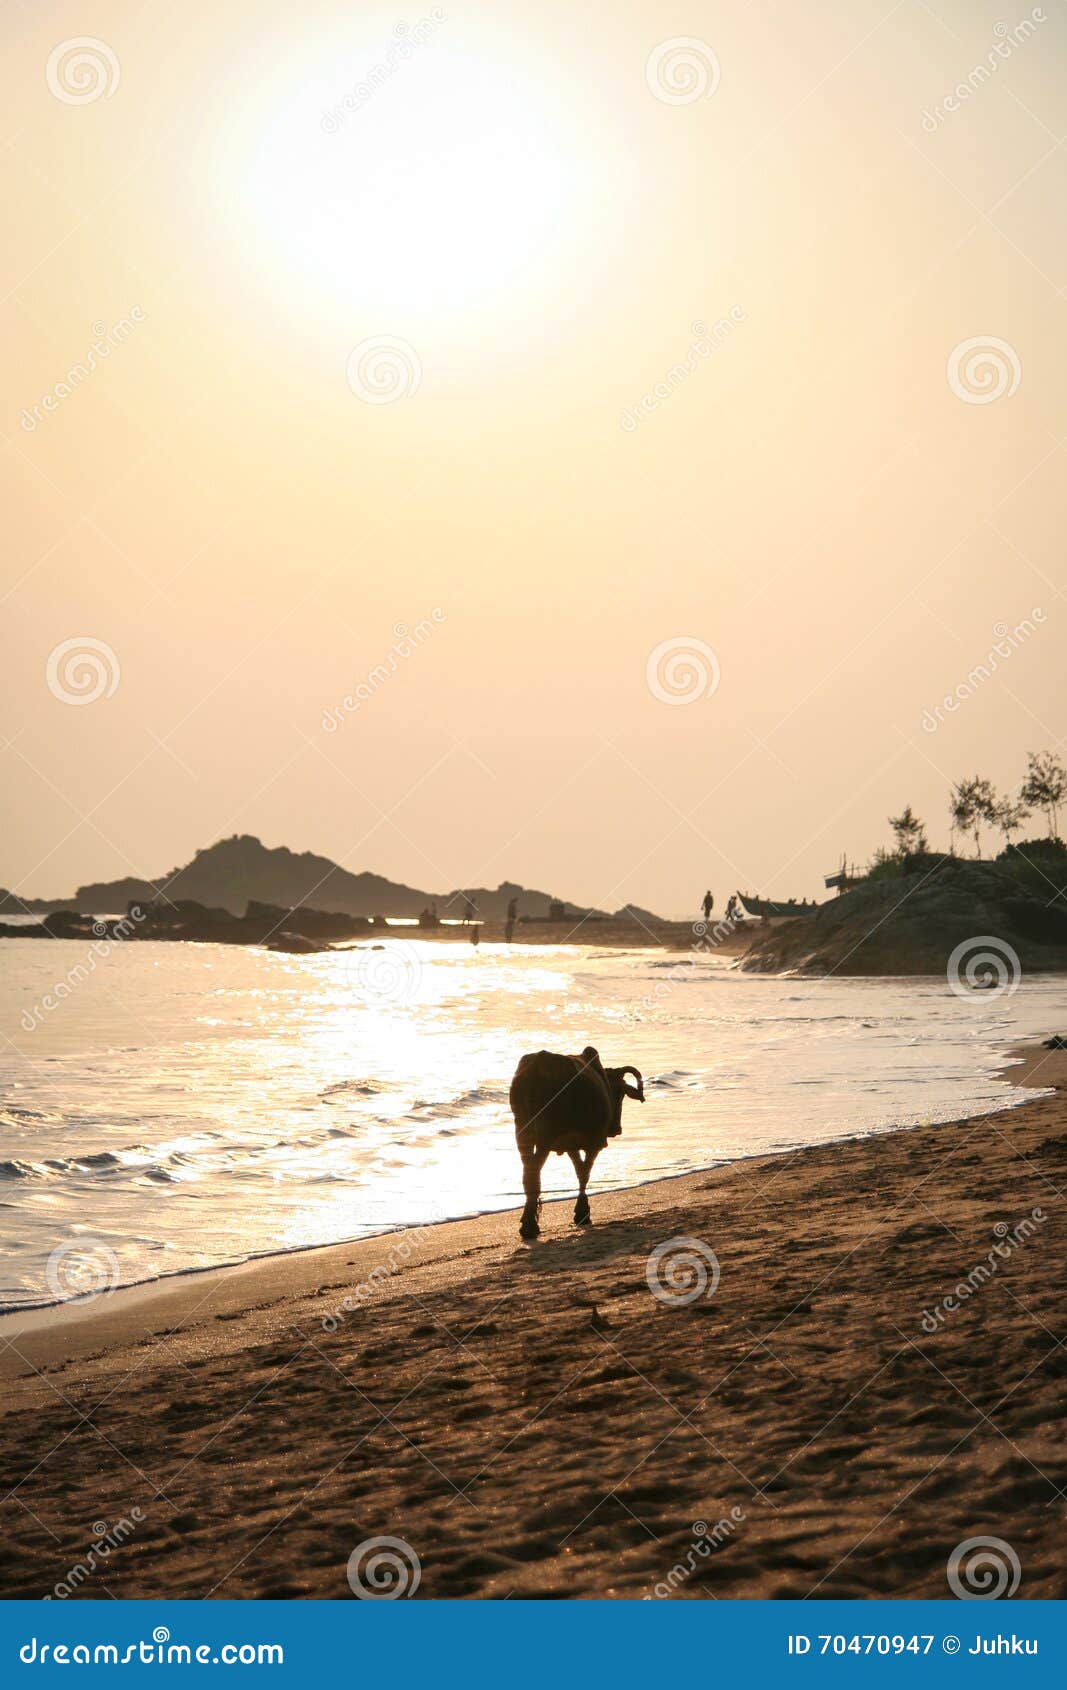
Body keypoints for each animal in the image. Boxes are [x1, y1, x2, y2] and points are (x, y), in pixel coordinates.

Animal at [509, 1046, 645, 1239]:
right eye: (620, 1094)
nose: (616, 1129)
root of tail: (537, 1066)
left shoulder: (570, 1145)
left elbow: (579, 1169)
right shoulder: (594, 1143)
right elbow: (584, 1173)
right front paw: (582, 1212)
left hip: (522, 1133)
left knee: (528, 1173)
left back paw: (528, 1222)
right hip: (545, 1137)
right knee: (534, 1172)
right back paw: (530, 1225)